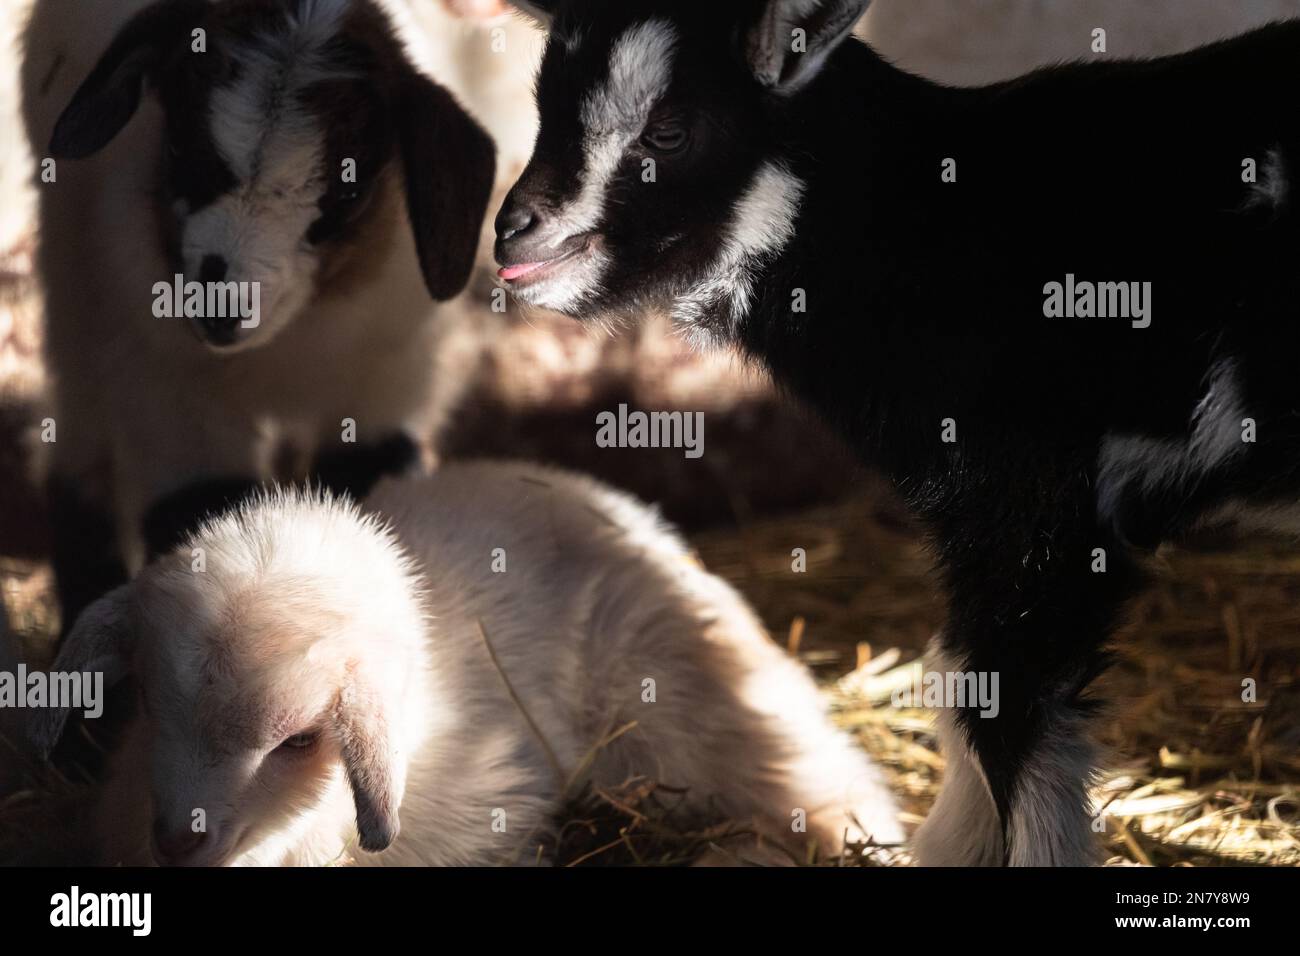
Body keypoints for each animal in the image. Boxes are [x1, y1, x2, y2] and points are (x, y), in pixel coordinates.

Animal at [20, 0, 496, 629]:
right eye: (179, 149)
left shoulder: (389, 378)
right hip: (72, 280)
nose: (221, 306)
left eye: (350, 192)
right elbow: (208, 517)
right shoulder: (167, 392)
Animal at [495, 0, 1300, 865]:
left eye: (669, 132)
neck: (923, 236)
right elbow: (961, 684)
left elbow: (1004, 712)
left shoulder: (1041, 505)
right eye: (541, 101)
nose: (513, 233)